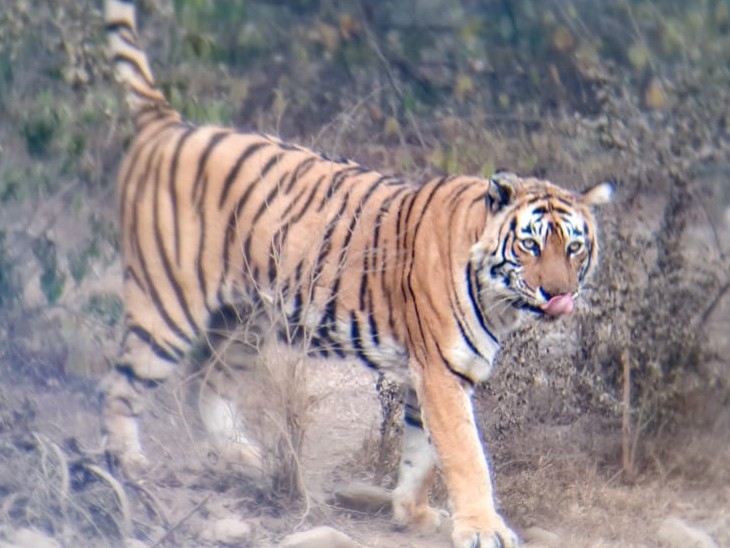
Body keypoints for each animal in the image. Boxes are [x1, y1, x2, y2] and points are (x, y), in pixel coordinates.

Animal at [101, 1, 612, 546]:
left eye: (574, 248)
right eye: (530, 244)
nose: (558, 294)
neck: (501, 302)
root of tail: (170, 122)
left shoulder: (433, 374)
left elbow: (421, 454)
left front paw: (413, 514)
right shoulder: (441, 373)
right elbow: (466, 455)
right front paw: (483, 529)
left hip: (245, 319)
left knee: (204, 379)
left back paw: (240, 456)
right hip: (166, 305)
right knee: (120, 384)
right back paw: (129, 463)